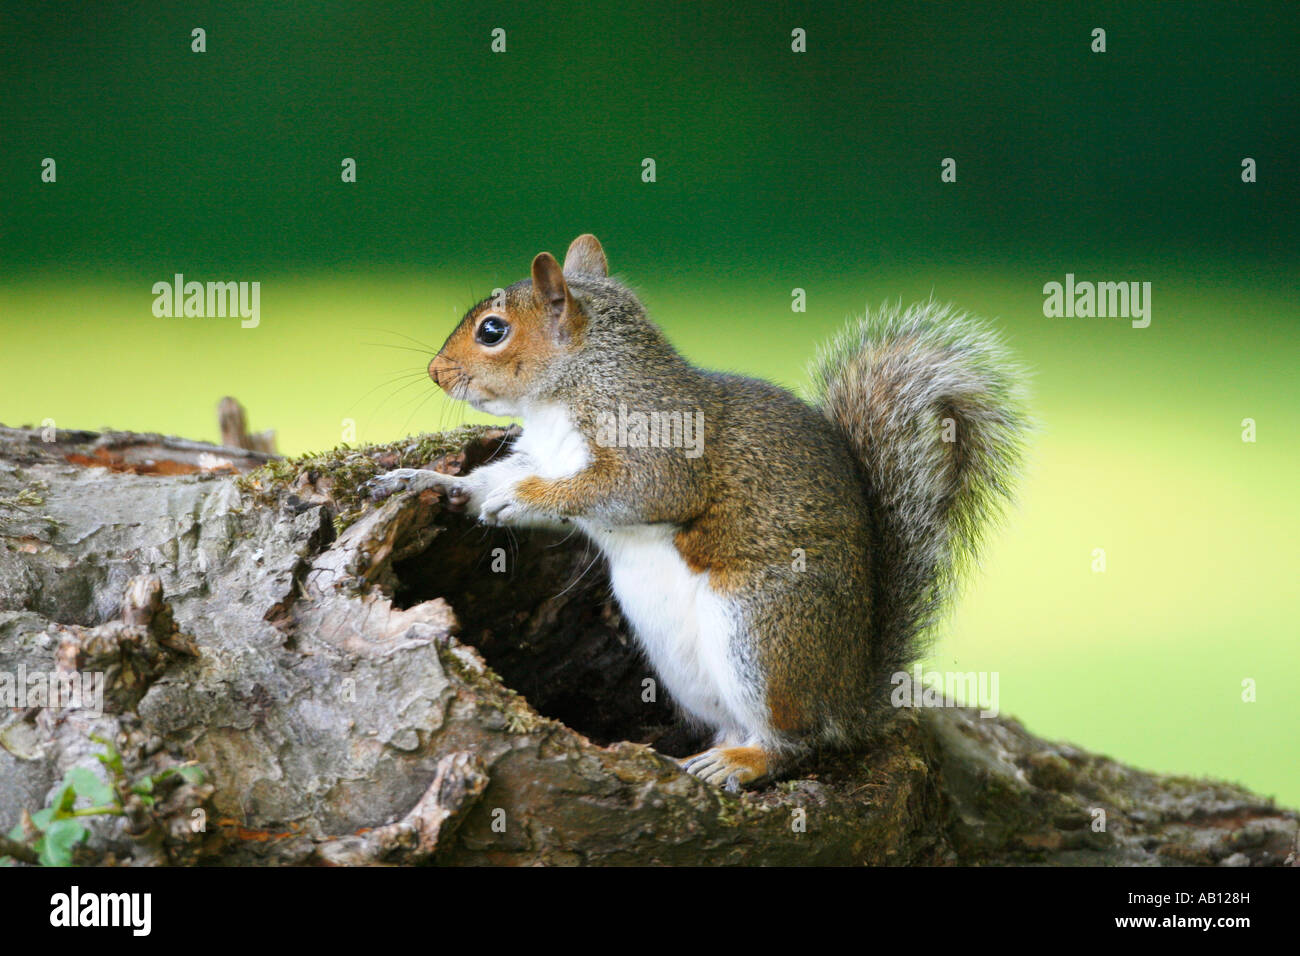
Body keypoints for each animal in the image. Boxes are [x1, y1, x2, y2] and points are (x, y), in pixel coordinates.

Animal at [368, 234, 1029, 791]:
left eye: (493, 330)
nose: (435, 372)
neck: (573, 387)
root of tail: (851, 697)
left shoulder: (658, 450)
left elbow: (636, 491)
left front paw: (522, 498)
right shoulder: (540, 454)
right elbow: (492, 483)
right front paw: (425, 479)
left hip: (762, 629)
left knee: (798, 741)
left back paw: (744, 761)